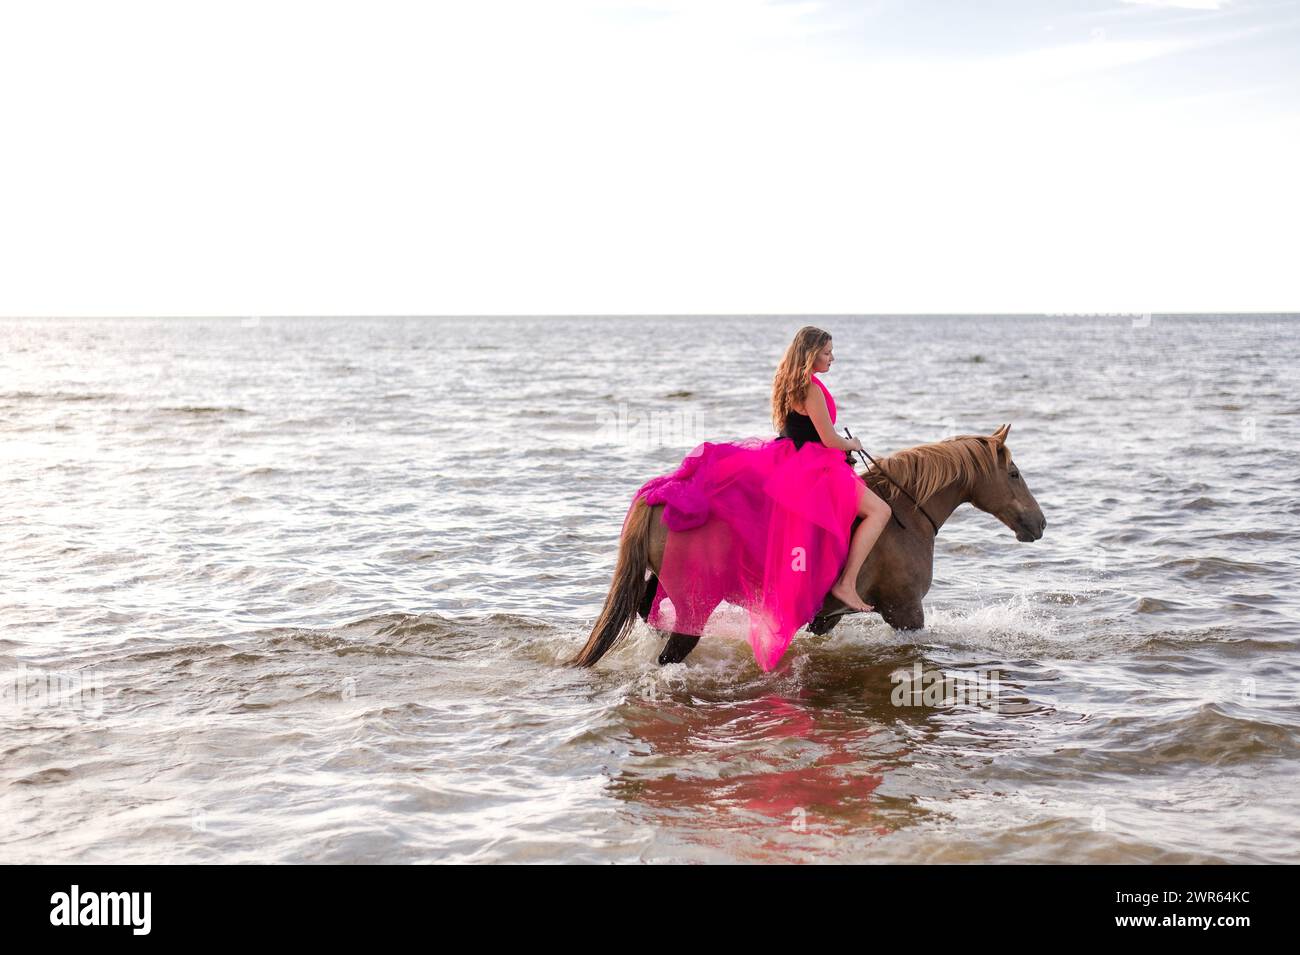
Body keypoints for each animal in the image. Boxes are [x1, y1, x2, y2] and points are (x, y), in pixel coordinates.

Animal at [567, 423, 1046, 669]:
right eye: (1014, 473)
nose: (1039, 524)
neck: (905, 513)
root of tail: (661, 497)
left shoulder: (828, 617)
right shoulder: (906, 612)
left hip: (665, 586)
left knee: (646, 608)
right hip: (696, 604)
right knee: (672, 648)